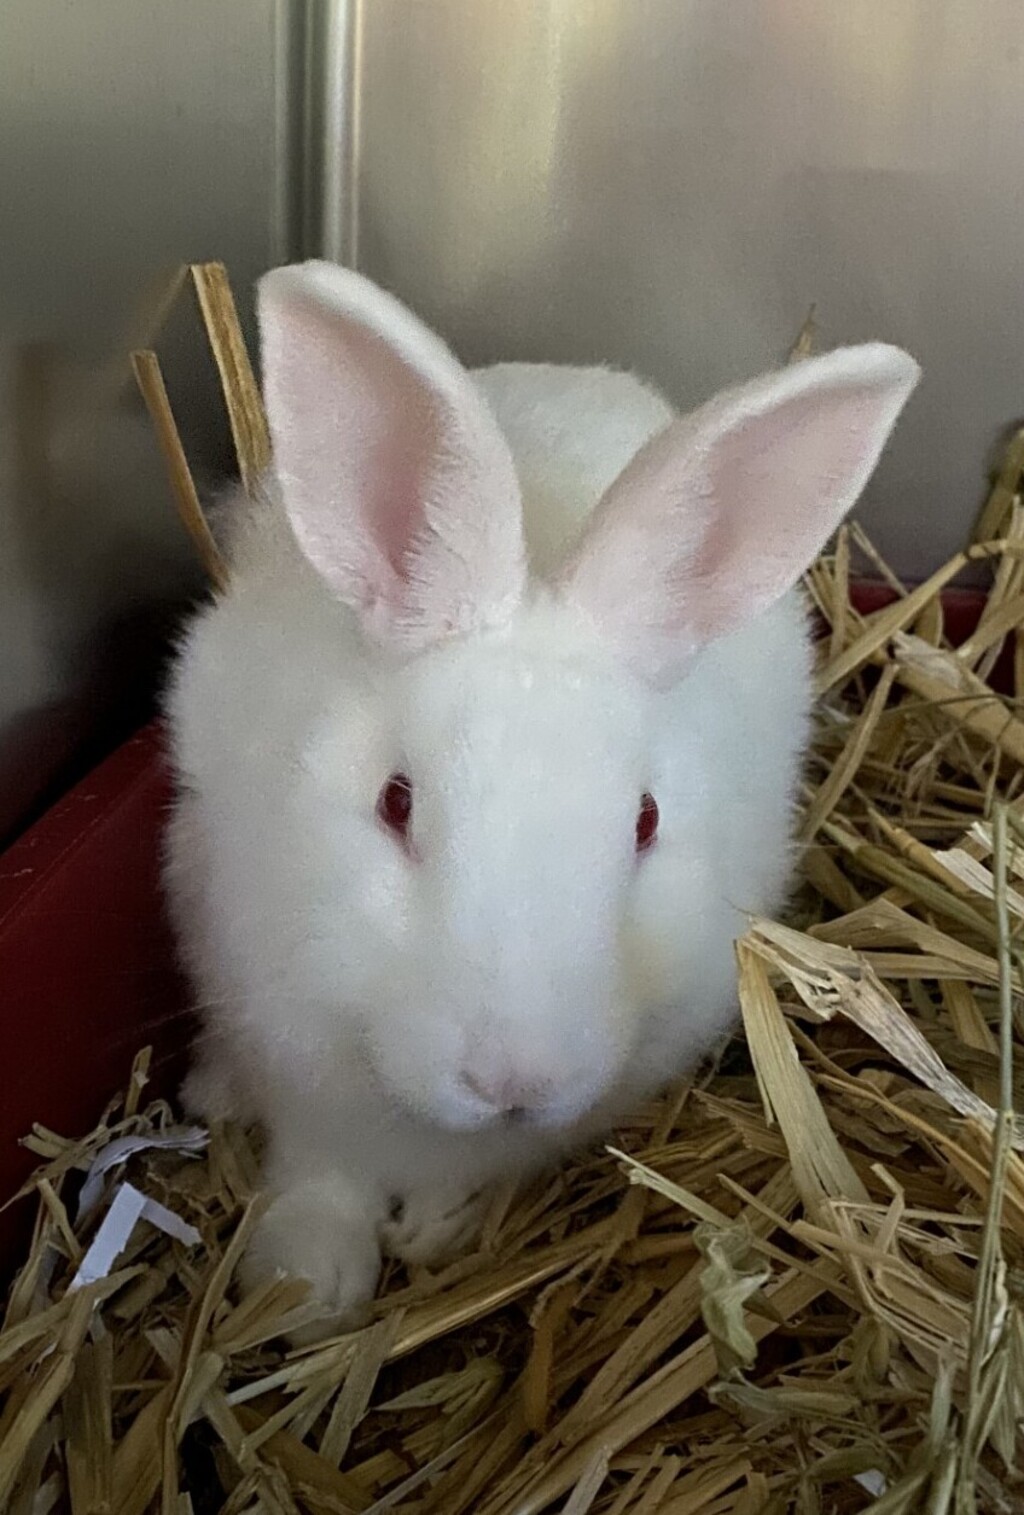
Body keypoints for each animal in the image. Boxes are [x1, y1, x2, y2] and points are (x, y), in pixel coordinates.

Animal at [163, 259, 919, 1339]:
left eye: (645, 821)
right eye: (395, 803)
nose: (514, 1080)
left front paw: (435, 1225)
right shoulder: (295, 1056)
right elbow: (320, 1175)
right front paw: (306, 1291)